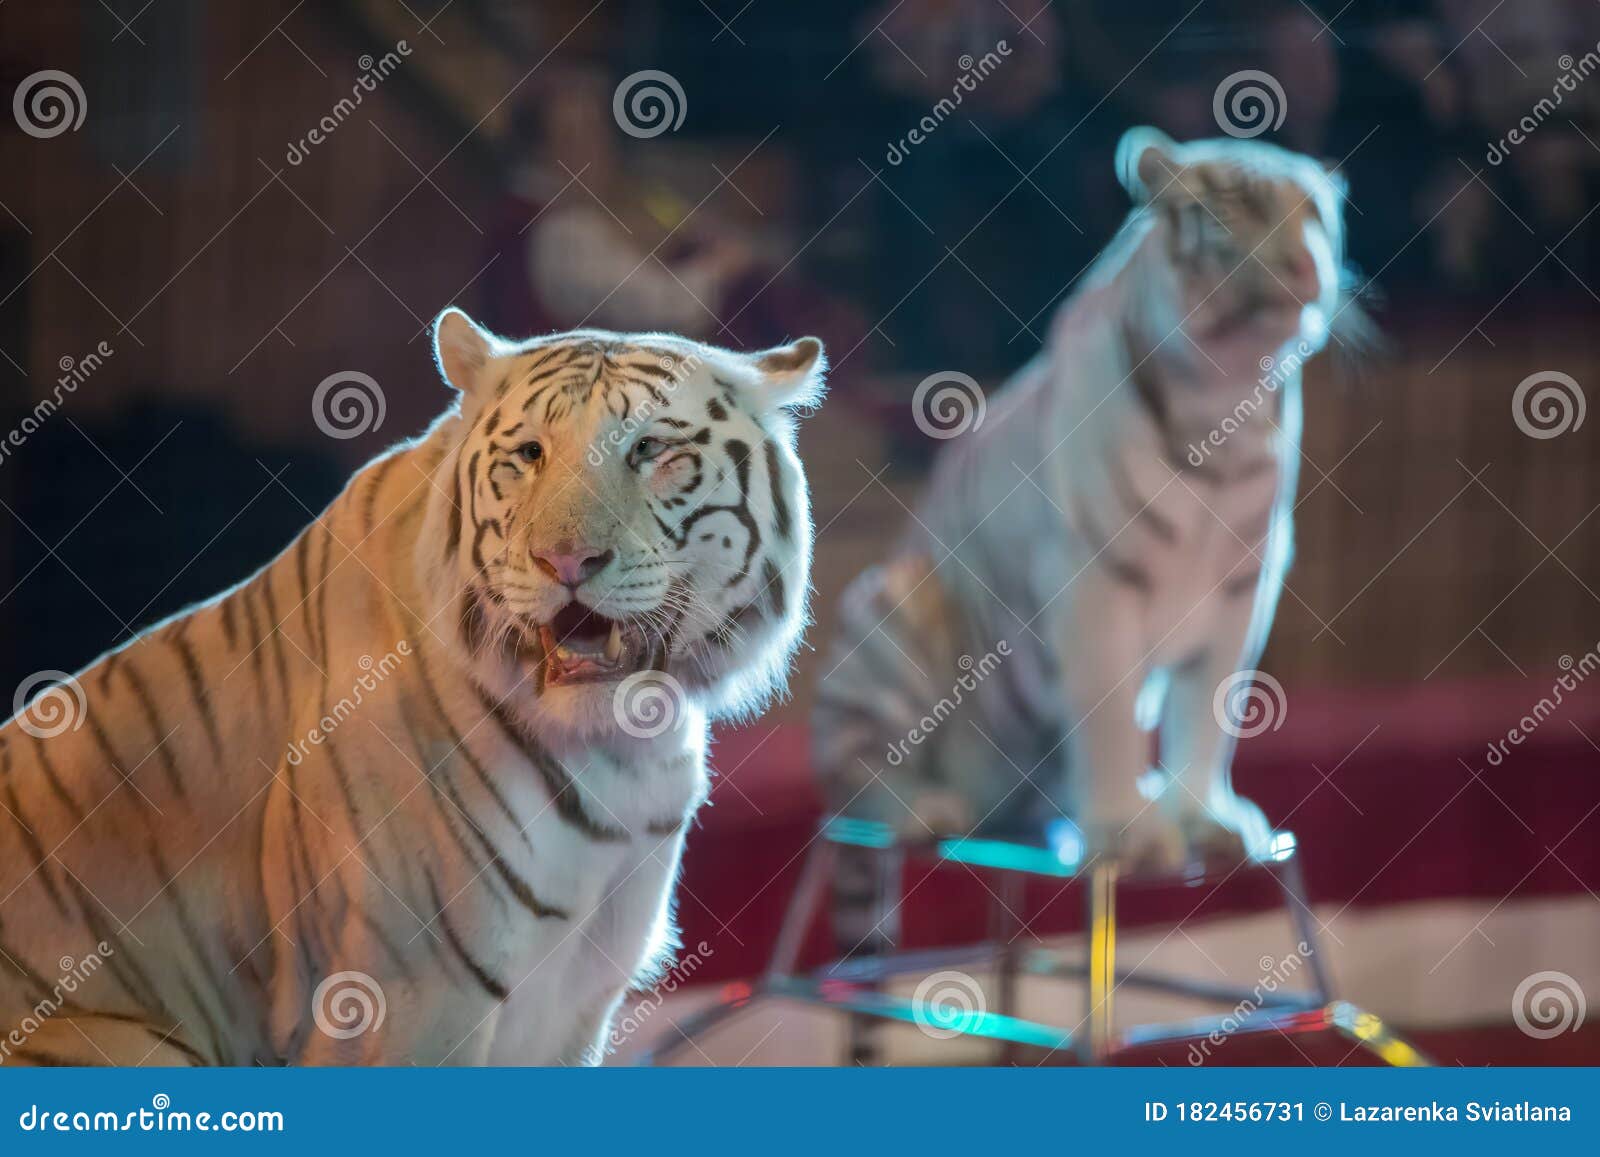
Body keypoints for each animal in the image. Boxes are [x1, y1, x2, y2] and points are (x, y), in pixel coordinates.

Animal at [0, 308, 825, 1066]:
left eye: (651, 448)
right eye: (530, 453)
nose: (565, 560)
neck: (620, 749)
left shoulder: (578, 1001)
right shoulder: (412, 996)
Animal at [814, 126, 1357, 979]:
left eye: (1320, 220)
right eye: (1239, 206)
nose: (1310, 269)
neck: (1222, 408)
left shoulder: (1245, 586)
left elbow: (1209, 710)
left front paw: (1205, 818)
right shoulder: (1095, 580)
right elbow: (1105, 709)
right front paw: (1128, 833)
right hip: (889, 608)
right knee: (852, 784)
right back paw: (925, 805)